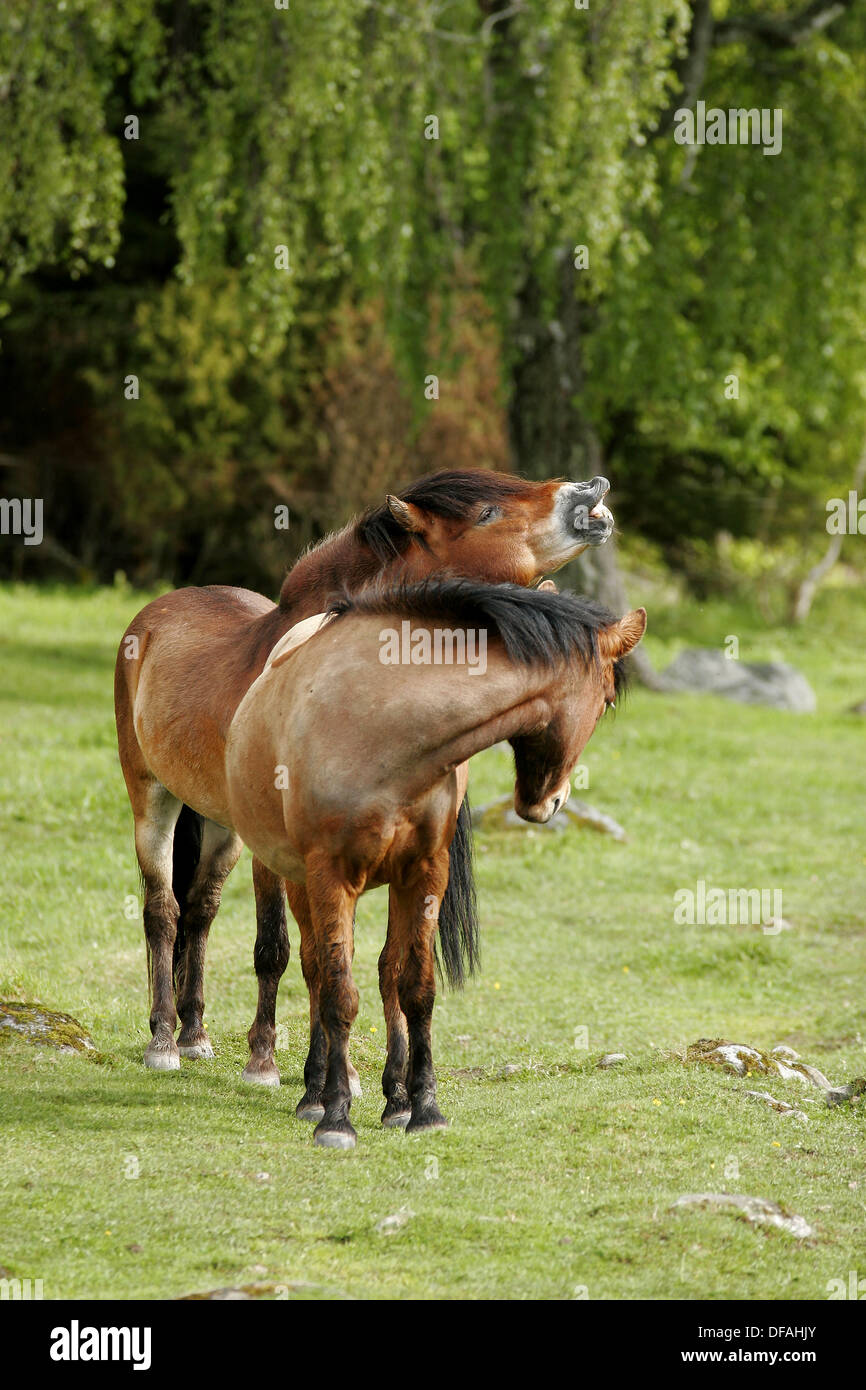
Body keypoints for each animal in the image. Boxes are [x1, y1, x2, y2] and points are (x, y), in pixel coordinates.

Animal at [114, 469, 615, 1083]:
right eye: (487, 513)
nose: (590, 489)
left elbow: (371, 961)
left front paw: (353, 1074)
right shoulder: (281, 848)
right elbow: (279, 949)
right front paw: (267, 1060)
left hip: (219, 825)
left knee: (201, 910)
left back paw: (194, 1033)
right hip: (152, 799)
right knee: (163, 911)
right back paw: (163, 1039)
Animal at [223, 577, 646, 1147]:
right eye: (606, 701)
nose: (550, 803)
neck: (383, 729)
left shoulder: (426, 873)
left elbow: (415, 989)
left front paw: (423, 1108)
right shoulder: (330, 876)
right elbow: (338, 993)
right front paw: (336, 1117)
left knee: (385, 972)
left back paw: (394, 1100)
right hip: (296, 878)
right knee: (315, 969)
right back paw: (315, 1094)